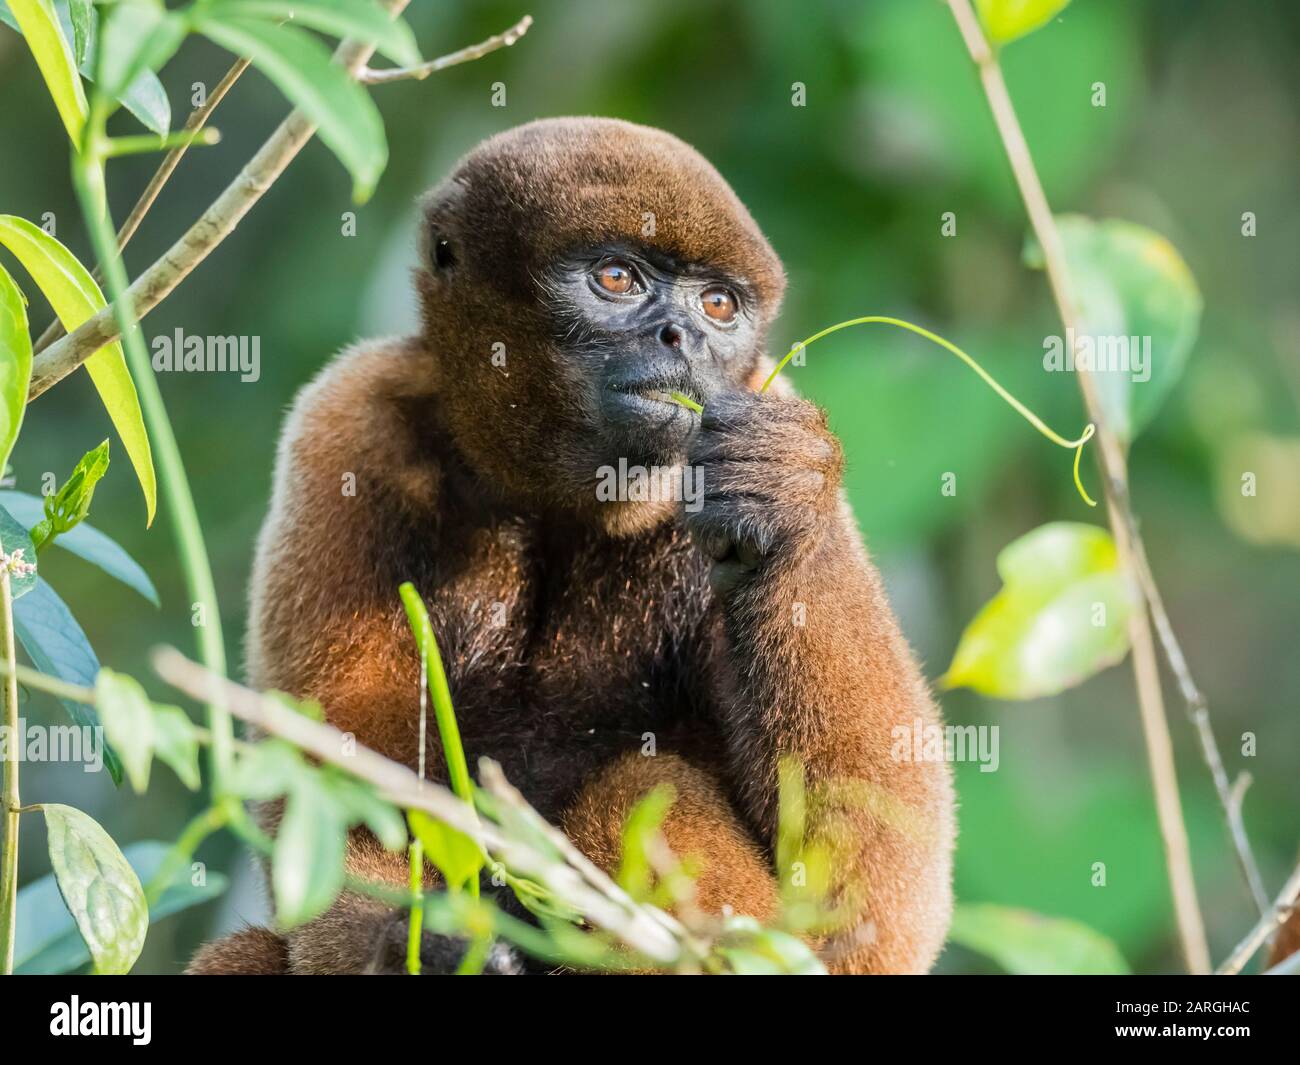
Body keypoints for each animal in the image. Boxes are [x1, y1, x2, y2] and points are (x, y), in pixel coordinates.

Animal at [186, 117, 955, 975]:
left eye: (719, 304)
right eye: (617, 277)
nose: (683, 336)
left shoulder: (759, 402)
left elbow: (871, 914)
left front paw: (780, 492)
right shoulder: (345, 424)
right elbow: (343, 801)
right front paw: (430, 943)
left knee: (647, 784)